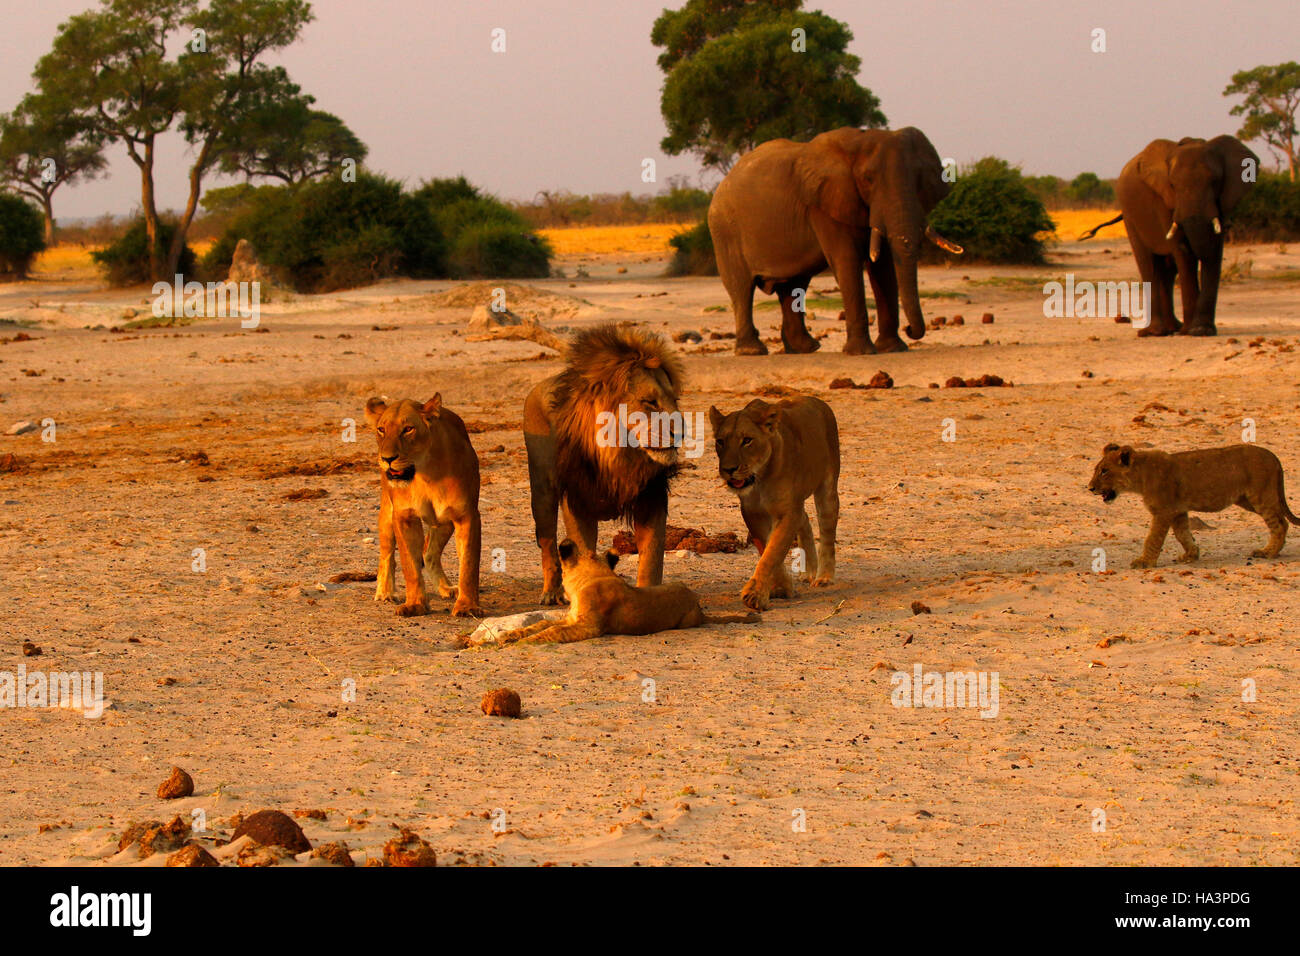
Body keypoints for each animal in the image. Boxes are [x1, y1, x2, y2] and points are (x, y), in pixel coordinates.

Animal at [365, 394, 482, 617]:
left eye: (408, 429)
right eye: (381, 429)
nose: (387, 459)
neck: (427, 474)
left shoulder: (466, 515)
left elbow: (469, 564)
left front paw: (467, 606)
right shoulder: (404, 517)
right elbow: (409, 565)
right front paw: (415, 605)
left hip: (444, 523)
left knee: (430, 553)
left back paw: (447, 588)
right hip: (387, 514)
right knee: (387, 554)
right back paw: (385, 592)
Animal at [467, 539, 758, 645]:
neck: (593, 576)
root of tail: (699, 607)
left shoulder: (589, 627)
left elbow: (552, 631)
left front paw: (522, 642)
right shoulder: (571, 618)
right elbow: (539, 625)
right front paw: (511, 635)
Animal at [524, 323, 689, 604]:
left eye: (675, 400)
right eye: (650, 402)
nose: (680, 432)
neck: (620, 456)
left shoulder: (652, 499)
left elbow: (652, 559)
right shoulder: (576, 499)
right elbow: (580, 552)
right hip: (543, 491)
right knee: (547, 543)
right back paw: (552, 592)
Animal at [708, 395, 840, 611]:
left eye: (747, 440)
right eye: (720, 441)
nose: (728, 469)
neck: (760, 479)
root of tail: (816, 400)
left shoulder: (787, 512)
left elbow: (773, 552)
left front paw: (754, 594)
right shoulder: (752, 512)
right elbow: (768, 549)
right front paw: (781, 587)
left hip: (827, 488)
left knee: (827, 531)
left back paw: (824, 577)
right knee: (805, 520)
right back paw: (808, 571)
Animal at [1088, 443, 1300, 567]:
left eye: (1104, 471)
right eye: (1097, 470)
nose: (1090, 488)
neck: (1140, 476)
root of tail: (1274, 456)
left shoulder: (1163, 511)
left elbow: (1153, 539)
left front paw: (1144, 562)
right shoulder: (1178, 510)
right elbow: (1183, 535)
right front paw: (1191, 555)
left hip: (1260, 497)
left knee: (1280, 524)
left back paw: (1268, 552)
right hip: (1247, 500)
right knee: (1282, 521)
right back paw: (1275, 551)